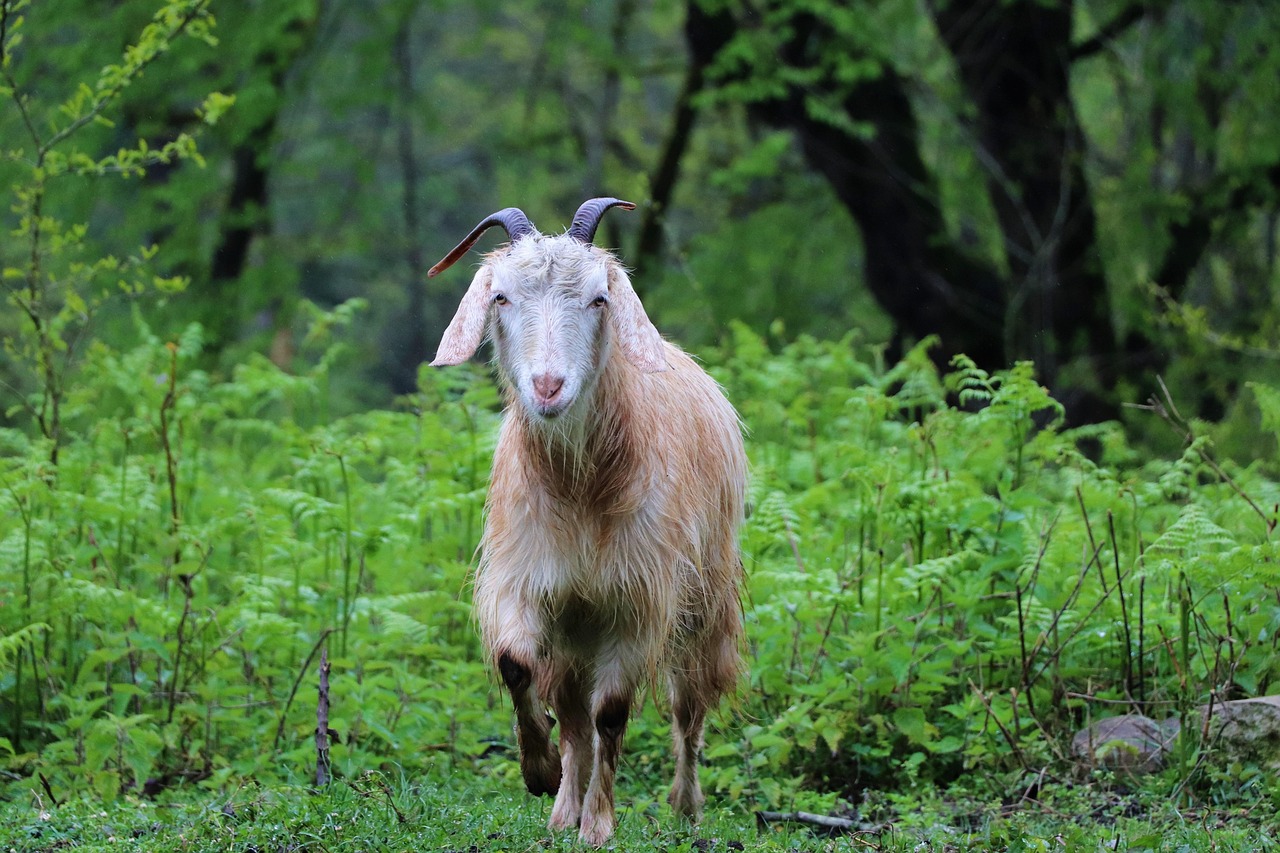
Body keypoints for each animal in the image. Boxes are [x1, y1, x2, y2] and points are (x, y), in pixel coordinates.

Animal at [428, 198, 746, 845]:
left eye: (601, 298)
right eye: (501, 297)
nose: (549, 387)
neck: (578, 491)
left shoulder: (636, 601)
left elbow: (614, 714)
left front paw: (599, 827)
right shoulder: (526, 581)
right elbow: (516, 667)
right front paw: (540, 774)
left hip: (702, 603)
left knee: (686, 707)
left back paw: (685, 805)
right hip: (574, 630)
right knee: (573, 714)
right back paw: (560, 809)